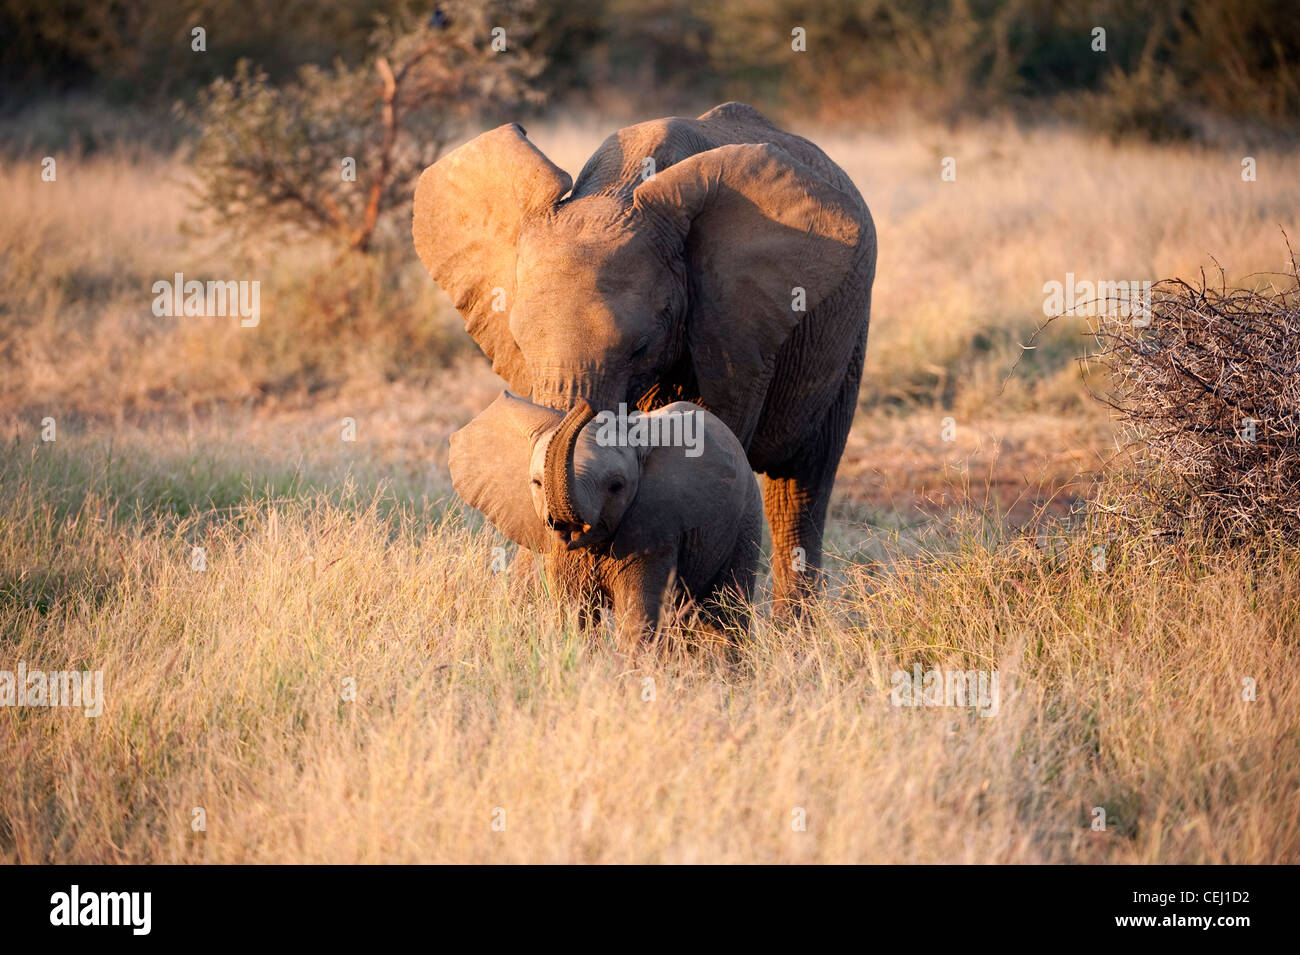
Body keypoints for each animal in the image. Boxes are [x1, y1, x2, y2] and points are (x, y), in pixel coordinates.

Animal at [414, 101, 876, 609]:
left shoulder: (729, 329)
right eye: (519, 346)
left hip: (850, 332)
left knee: (801, 486)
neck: (620, 187)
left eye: (639, 348)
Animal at [449, 391, 763, 646]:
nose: (586, 404)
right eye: (536, 483)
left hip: (747, 521)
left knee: (725, 616)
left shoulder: (654, 528)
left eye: (616, 486)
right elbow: (573, 611)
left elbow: (638, 616)